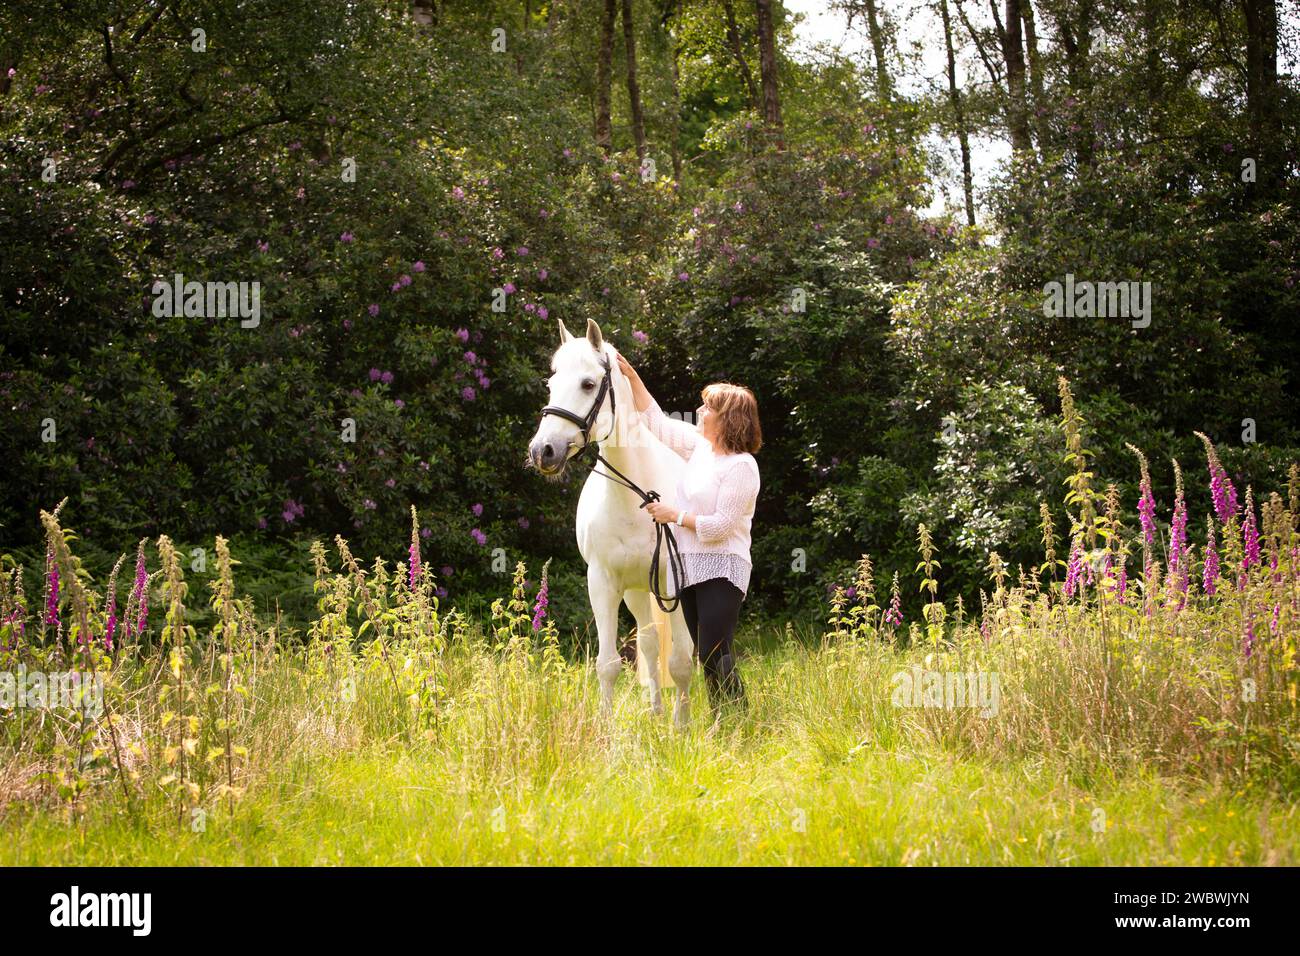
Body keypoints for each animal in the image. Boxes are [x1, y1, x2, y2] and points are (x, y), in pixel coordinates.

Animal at [527, 317, 696, 728]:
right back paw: (655, 711)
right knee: (649, 645)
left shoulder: (673, 582)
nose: (542, 451)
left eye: (588, 384)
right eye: (551, 384)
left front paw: (682, 728)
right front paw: (604, 729)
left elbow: (681, 661)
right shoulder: (602, 582)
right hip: (637, 589)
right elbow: (608, 664)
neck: (634, 500)